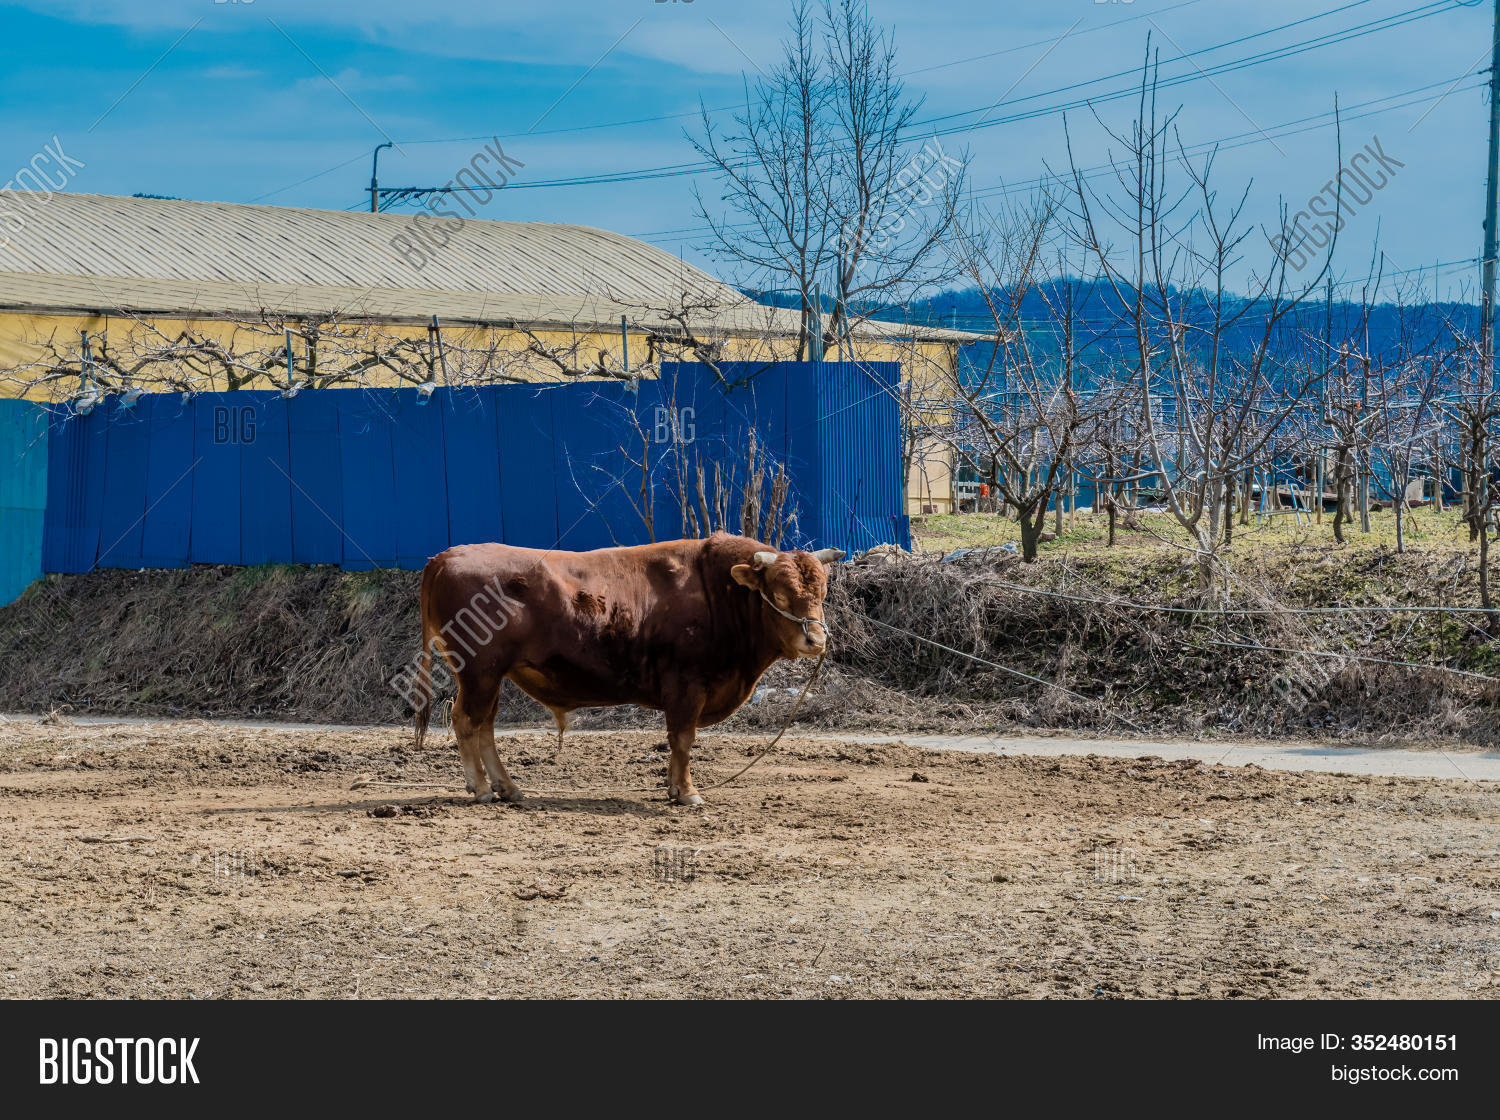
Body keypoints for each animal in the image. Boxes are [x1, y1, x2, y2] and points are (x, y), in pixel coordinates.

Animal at [411, 532, 845, 806]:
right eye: (780, 595)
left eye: (821, 592)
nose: (816, 640)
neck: (714, 590)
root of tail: (447, 555)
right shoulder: (687, 685)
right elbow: (682, 739)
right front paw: (686, 792)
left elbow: (678, 742)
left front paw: (673, 787)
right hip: (479, 672)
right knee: (466, 721)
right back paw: (482, 787)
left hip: (492, 676)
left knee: (484, 725)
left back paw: (507, 787)